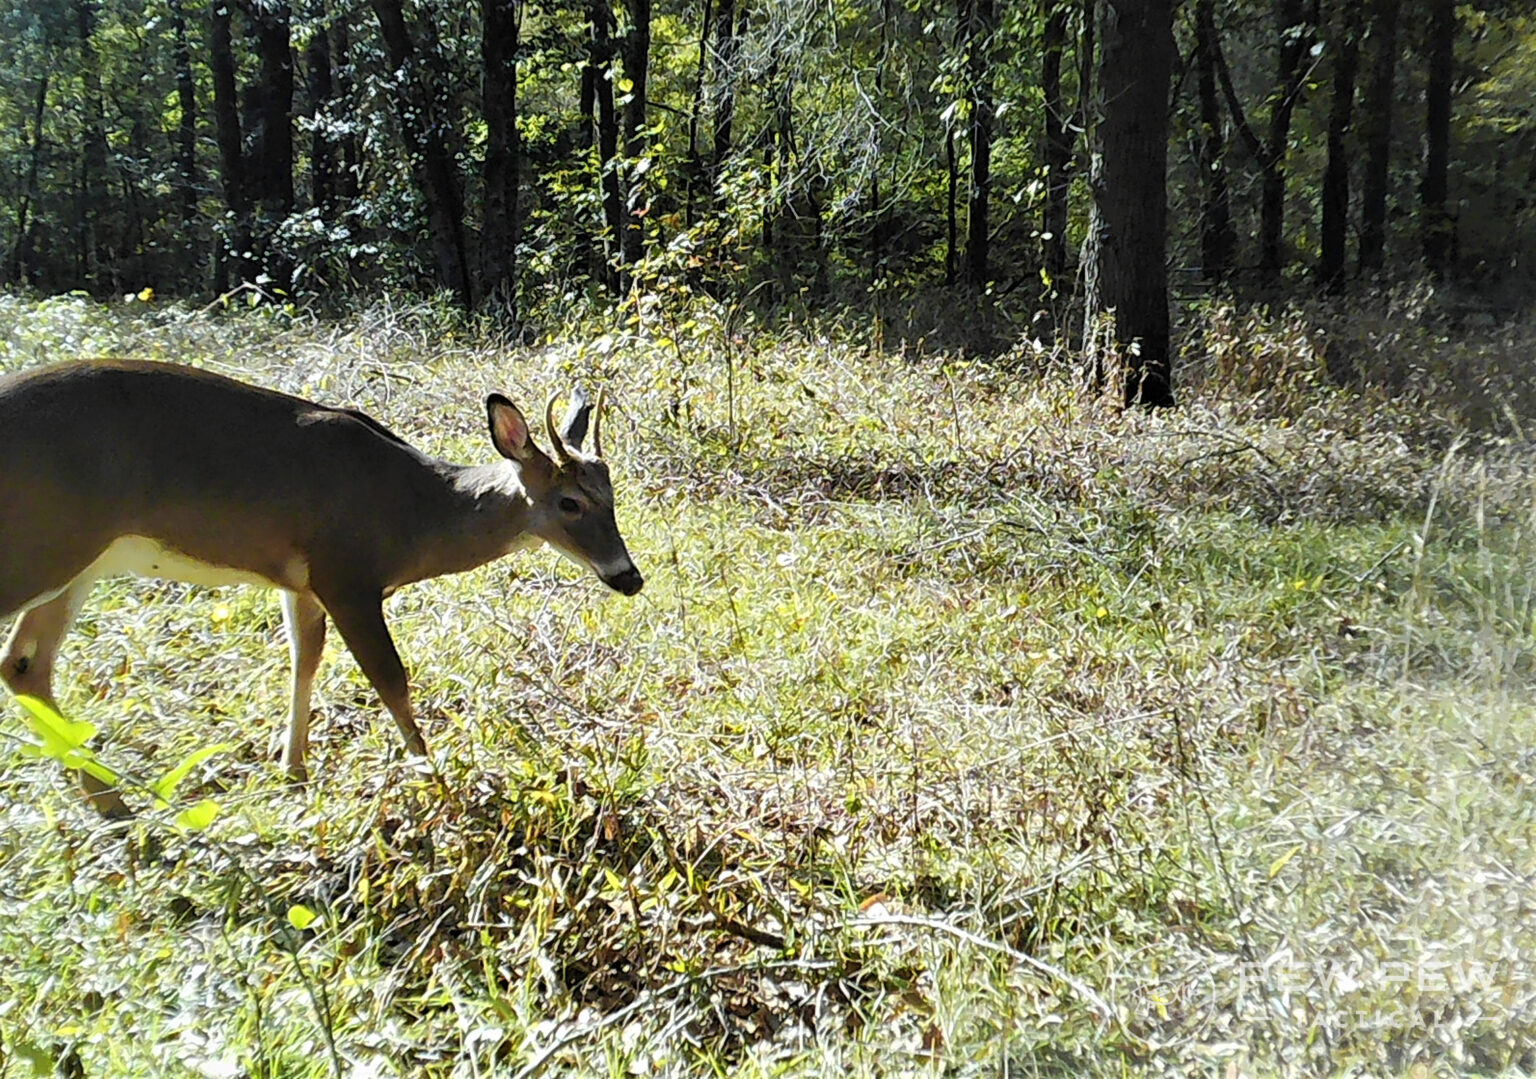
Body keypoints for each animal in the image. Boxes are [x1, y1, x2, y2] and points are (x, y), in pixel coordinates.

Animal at [0, 359, 643, 817]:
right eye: (569, 502)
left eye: (613, 493)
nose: (629, 577)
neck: (414, 518)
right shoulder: (346, 573)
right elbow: (391, 678)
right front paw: (432, 779)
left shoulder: (301, 582)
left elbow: (303, 658)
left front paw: (293, 773)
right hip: (43, 546)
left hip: (72, 560)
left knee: (25, 663)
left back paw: (113, 804)